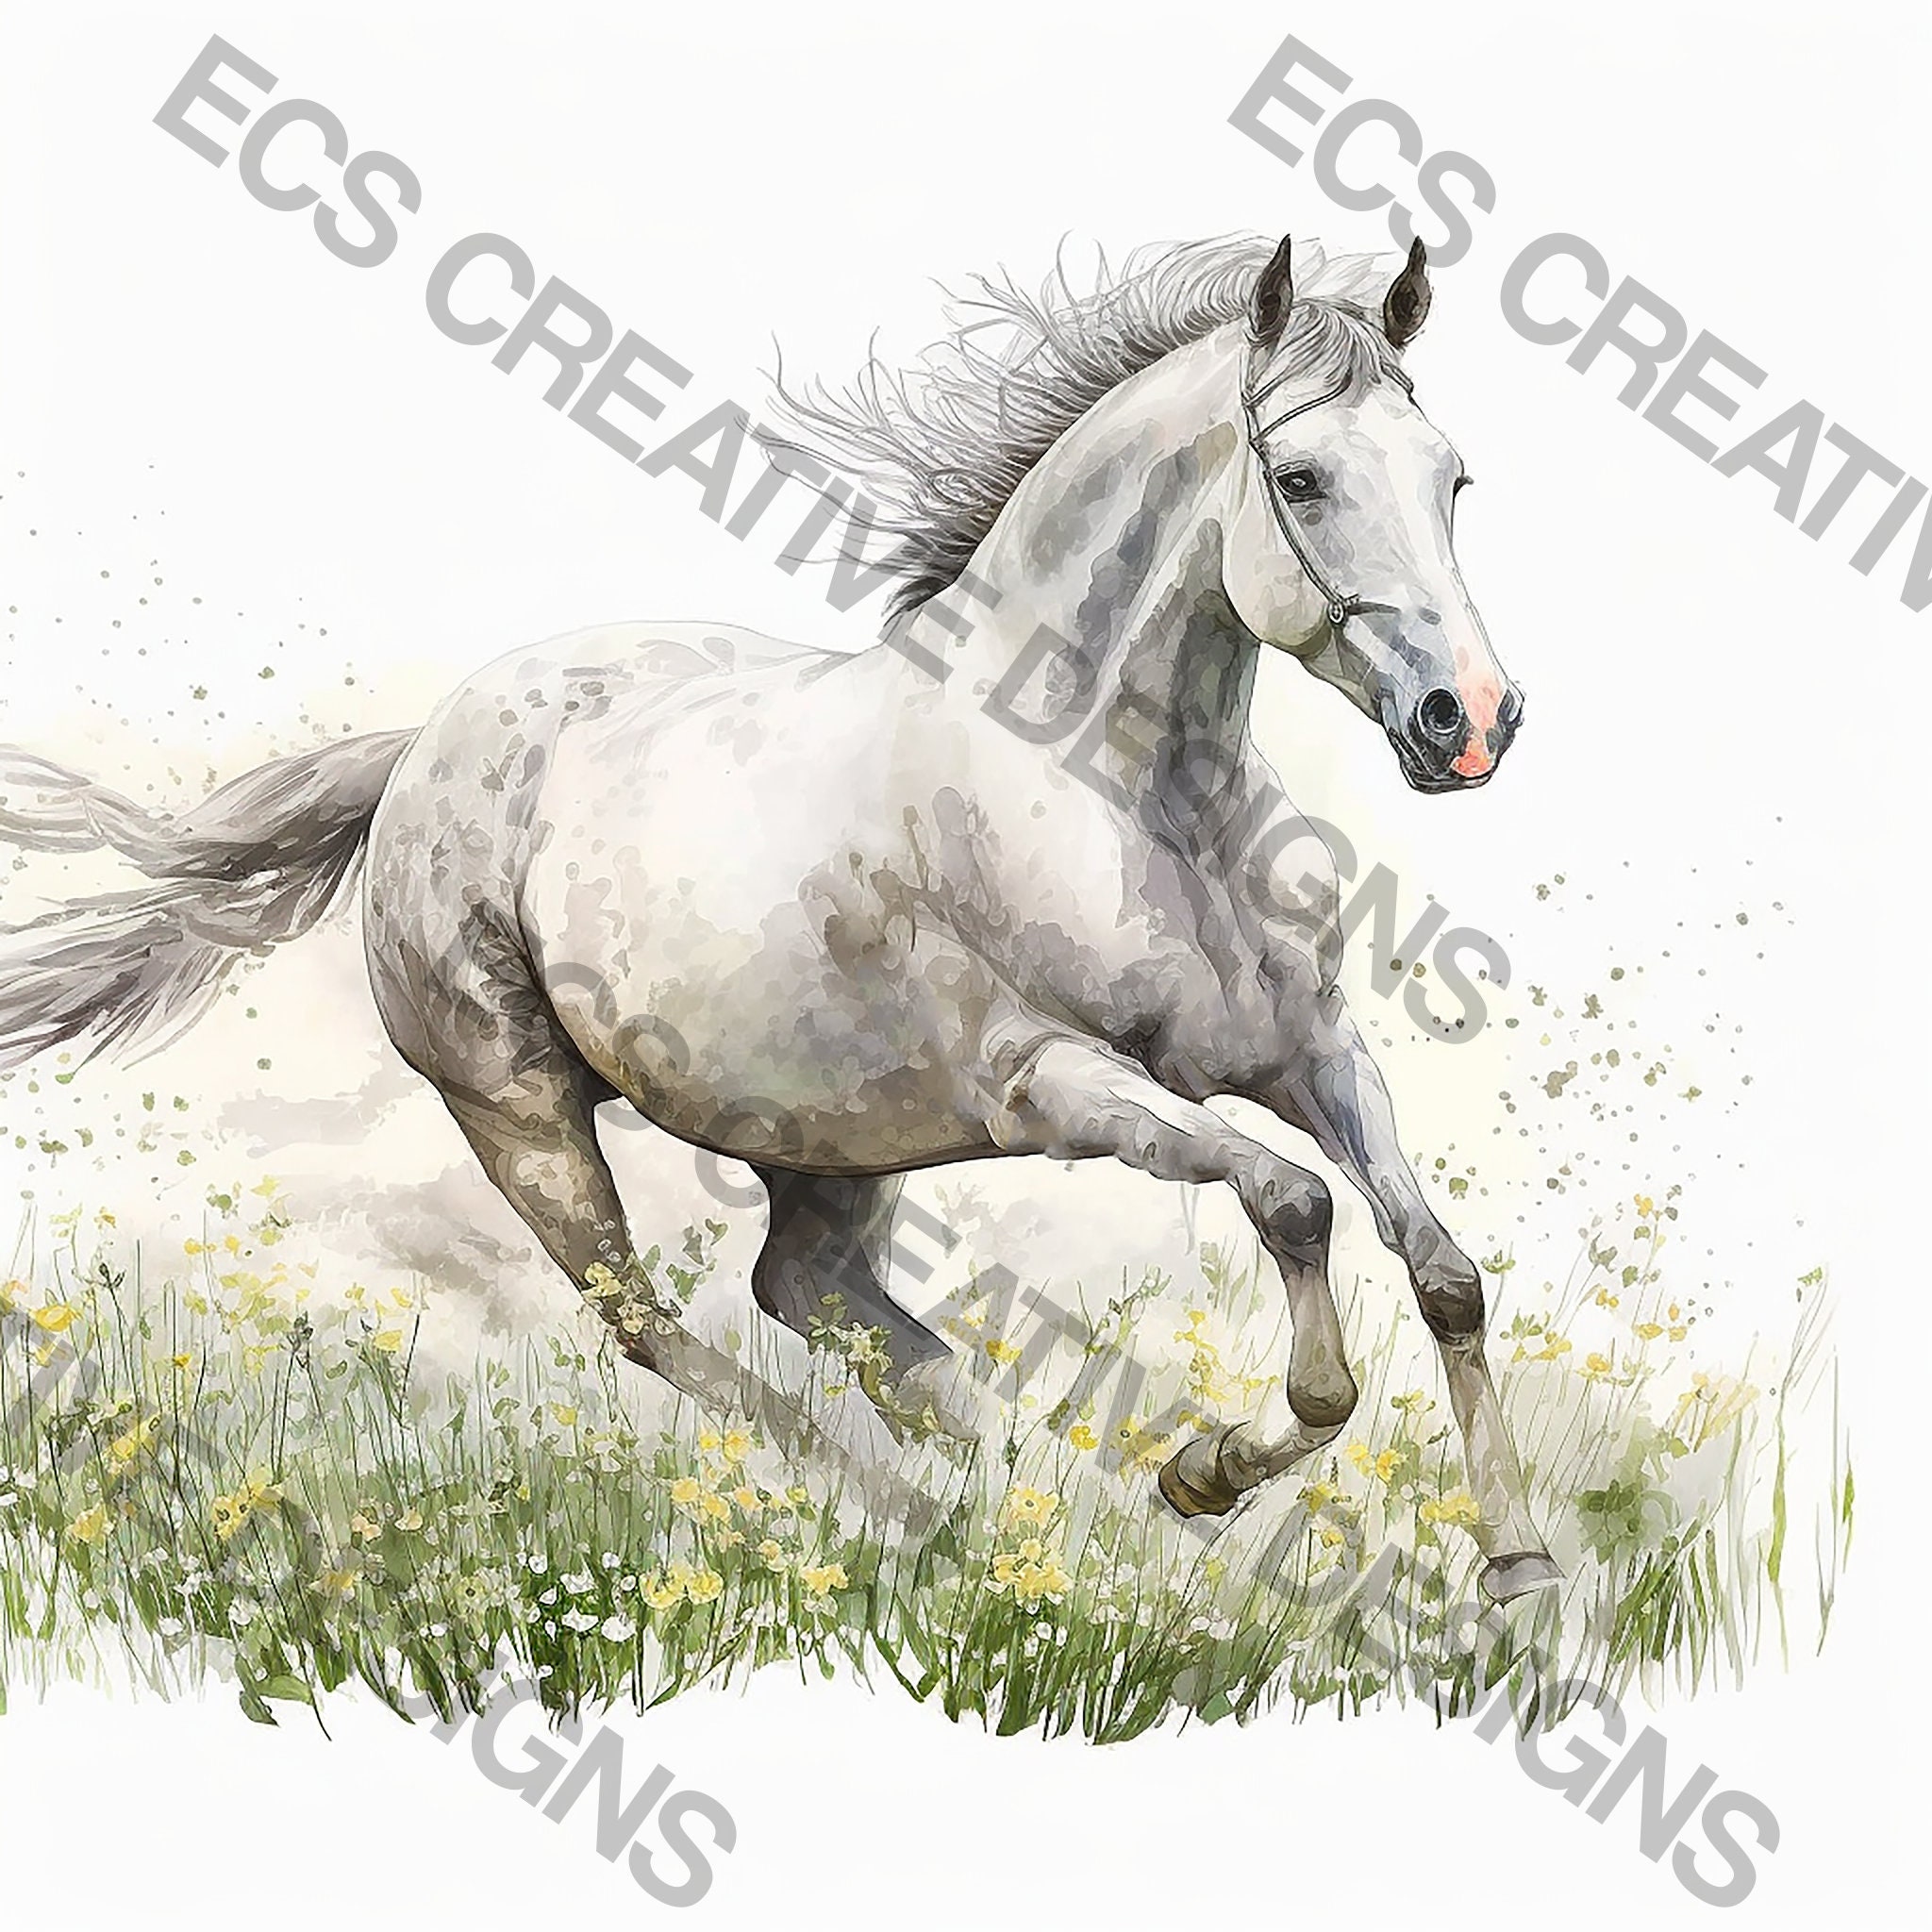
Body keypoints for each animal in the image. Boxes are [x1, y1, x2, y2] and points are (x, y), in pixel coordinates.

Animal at [0, 230, 1558, 1602]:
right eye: (1301, 477)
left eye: (1456, 479)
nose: (1471, 722)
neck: (1128, 792)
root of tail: (422, 749)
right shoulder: (1055, 1086)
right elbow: (1293, 1203)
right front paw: (1206, 1470)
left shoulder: (1313, 1052)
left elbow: (1443, 1273)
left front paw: (1520, 1569)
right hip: (520, 1111)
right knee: (657, 1327)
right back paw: (911, 1512)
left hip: (824, 1140)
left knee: (811, 1296)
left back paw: (995, 1498)